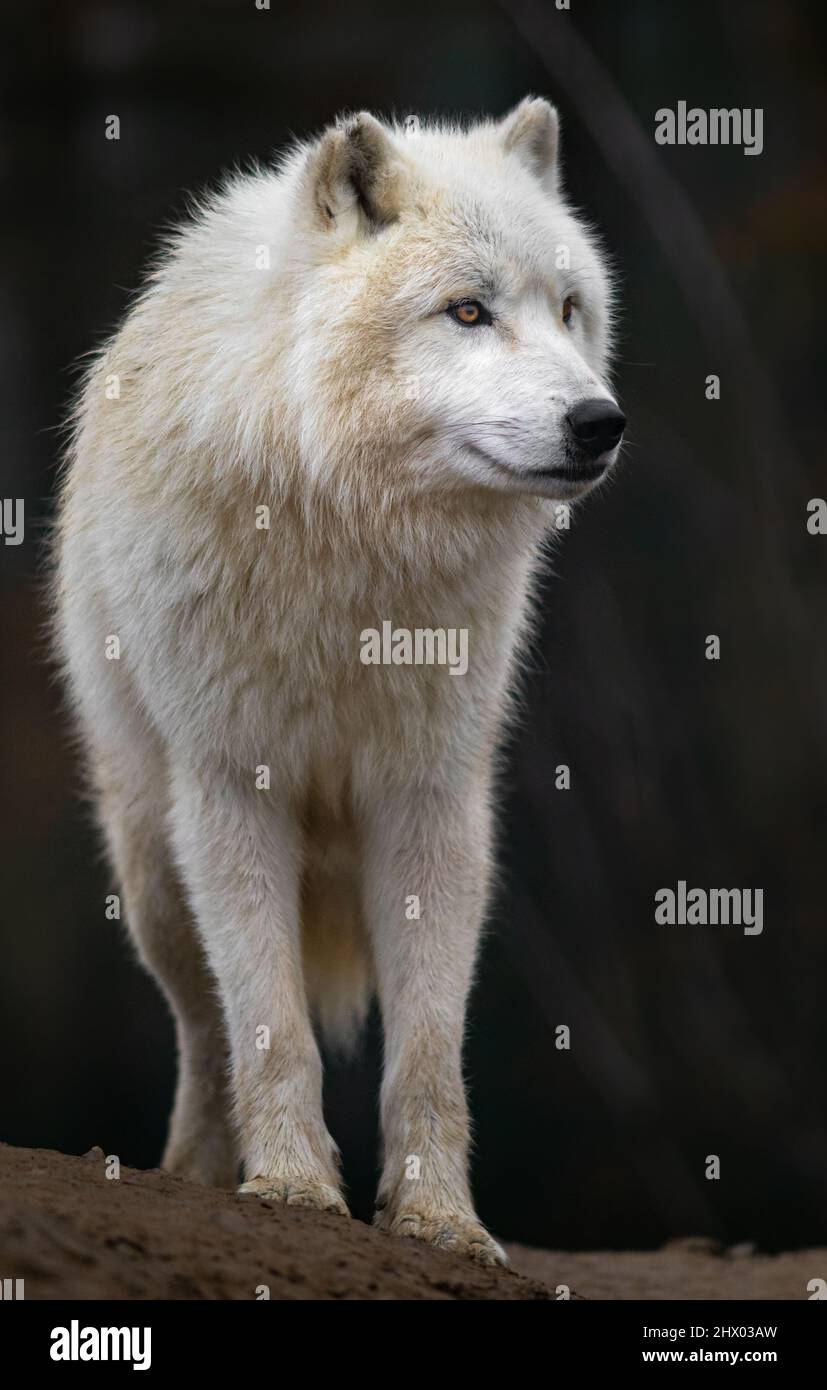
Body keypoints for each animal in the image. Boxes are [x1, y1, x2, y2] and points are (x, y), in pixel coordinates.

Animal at [54, 98, 623, 1265]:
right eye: (466, 311)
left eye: (568, 309)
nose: (599, 421)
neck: (348, 546)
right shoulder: (233, 786)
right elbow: (270, 1027)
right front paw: (289, 1186)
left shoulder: (431, 799)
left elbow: (429, 1053)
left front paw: (441, 1219)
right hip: (152, 868)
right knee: (203, 1026)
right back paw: (192, 1174)